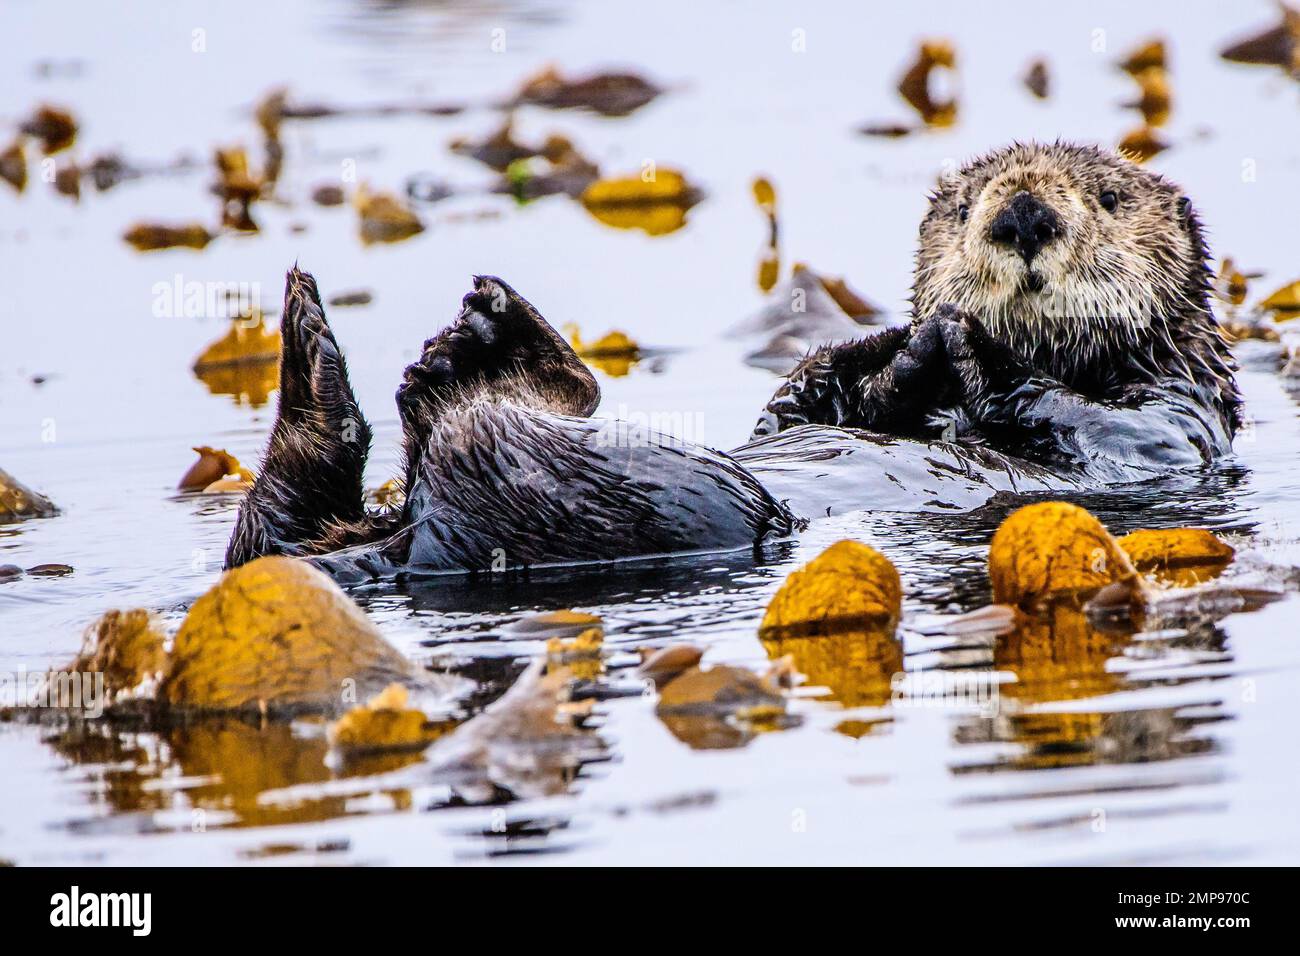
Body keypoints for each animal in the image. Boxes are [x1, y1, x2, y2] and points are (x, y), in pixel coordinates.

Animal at [752, 142, 1241, 481]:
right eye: (963, 209)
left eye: (1110, 199)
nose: (1023, 213)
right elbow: (778, 418)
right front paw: (894, 348)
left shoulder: (1186, 404)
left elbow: (1129, 429)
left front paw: (973, 344)